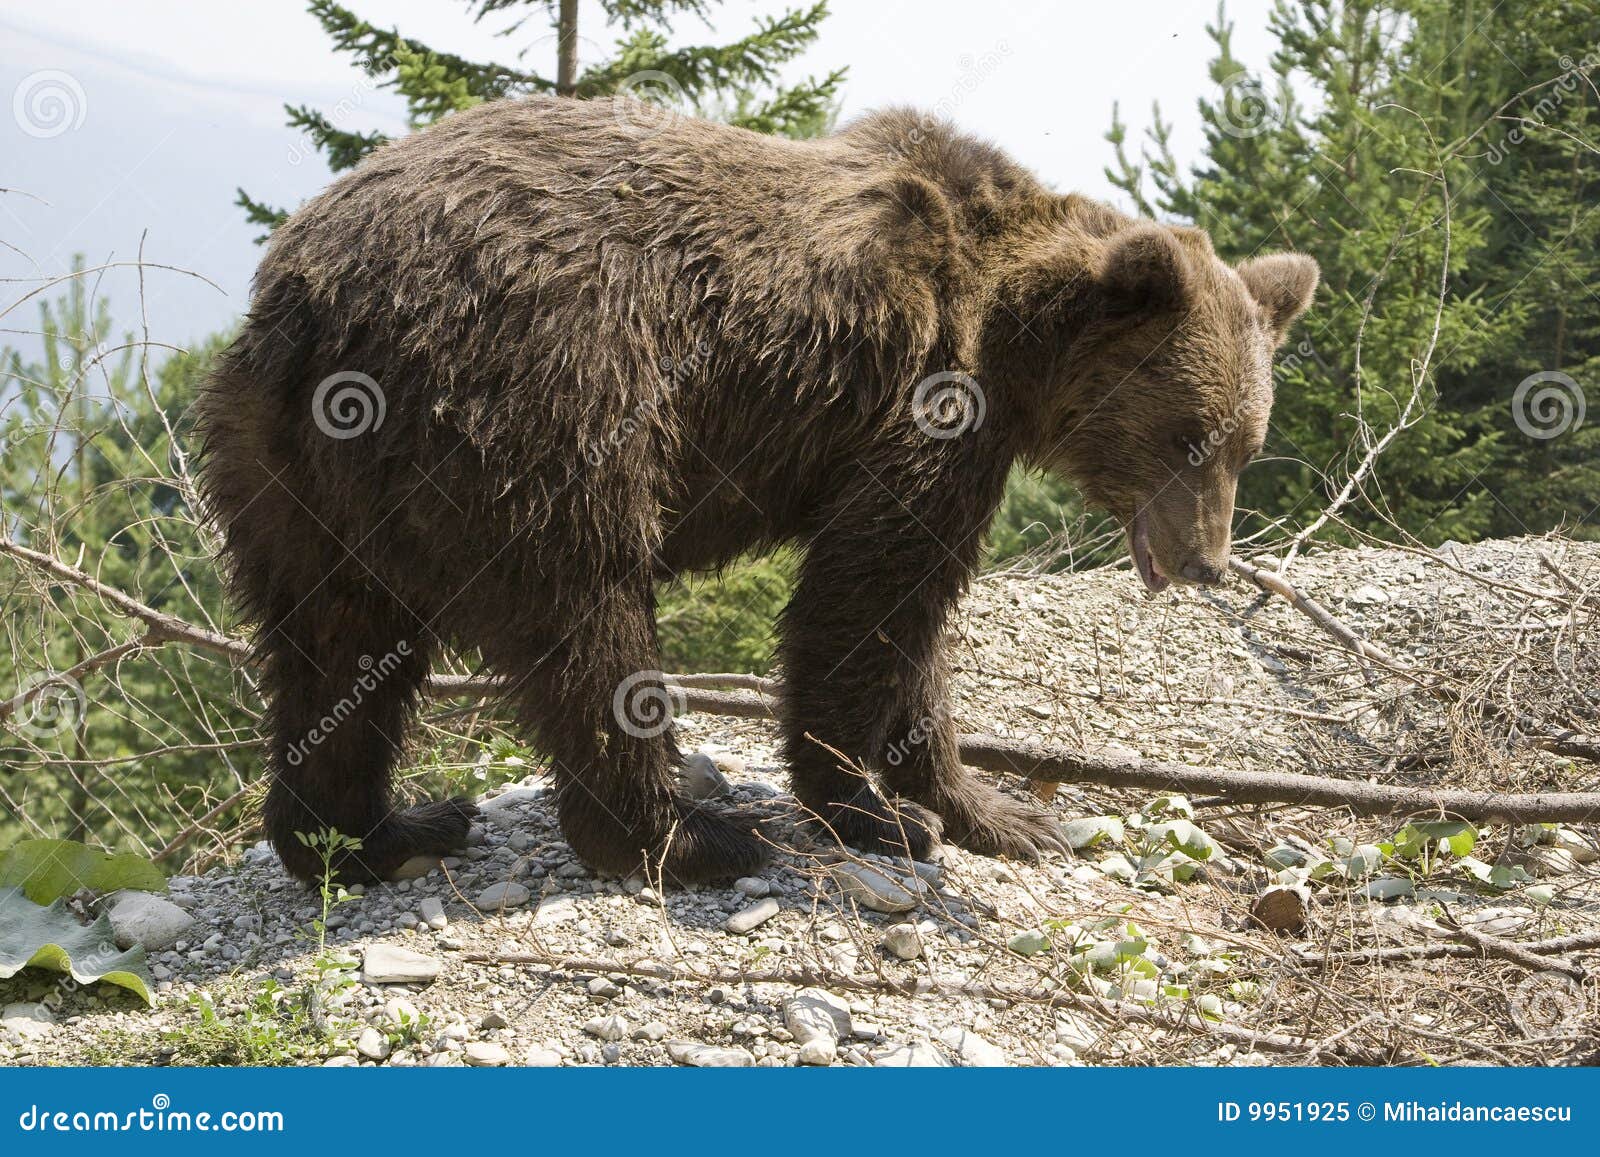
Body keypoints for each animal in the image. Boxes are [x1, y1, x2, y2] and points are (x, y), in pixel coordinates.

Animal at [194, 96, 1317, 886]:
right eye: (1184, 437)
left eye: (1245, 445)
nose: (1208, 560)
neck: (1012, 335)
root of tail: (315, 302)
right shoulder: (926, 413)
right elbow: (872, 597)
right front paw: (886, 806)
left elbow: (905, 618)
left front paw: (998, 809)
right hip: (544, 401)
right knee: (588, 615)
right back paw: (688, 835)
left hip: (285, 471)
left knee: (332, 643)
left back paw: (372, 831)